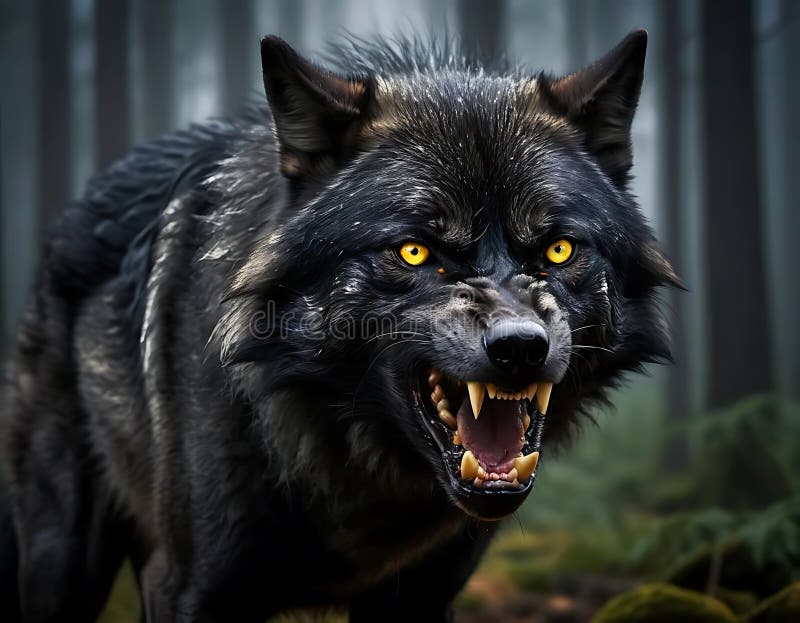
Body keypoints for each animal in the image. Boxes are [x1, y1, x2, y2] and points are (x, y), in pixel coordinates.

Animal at [0, 30, 680, 621]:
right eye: (414, 252)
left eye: (559, 250)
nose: (519, 348)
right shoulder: (191, 589)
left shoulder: (419, 599)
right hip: (63, 563)